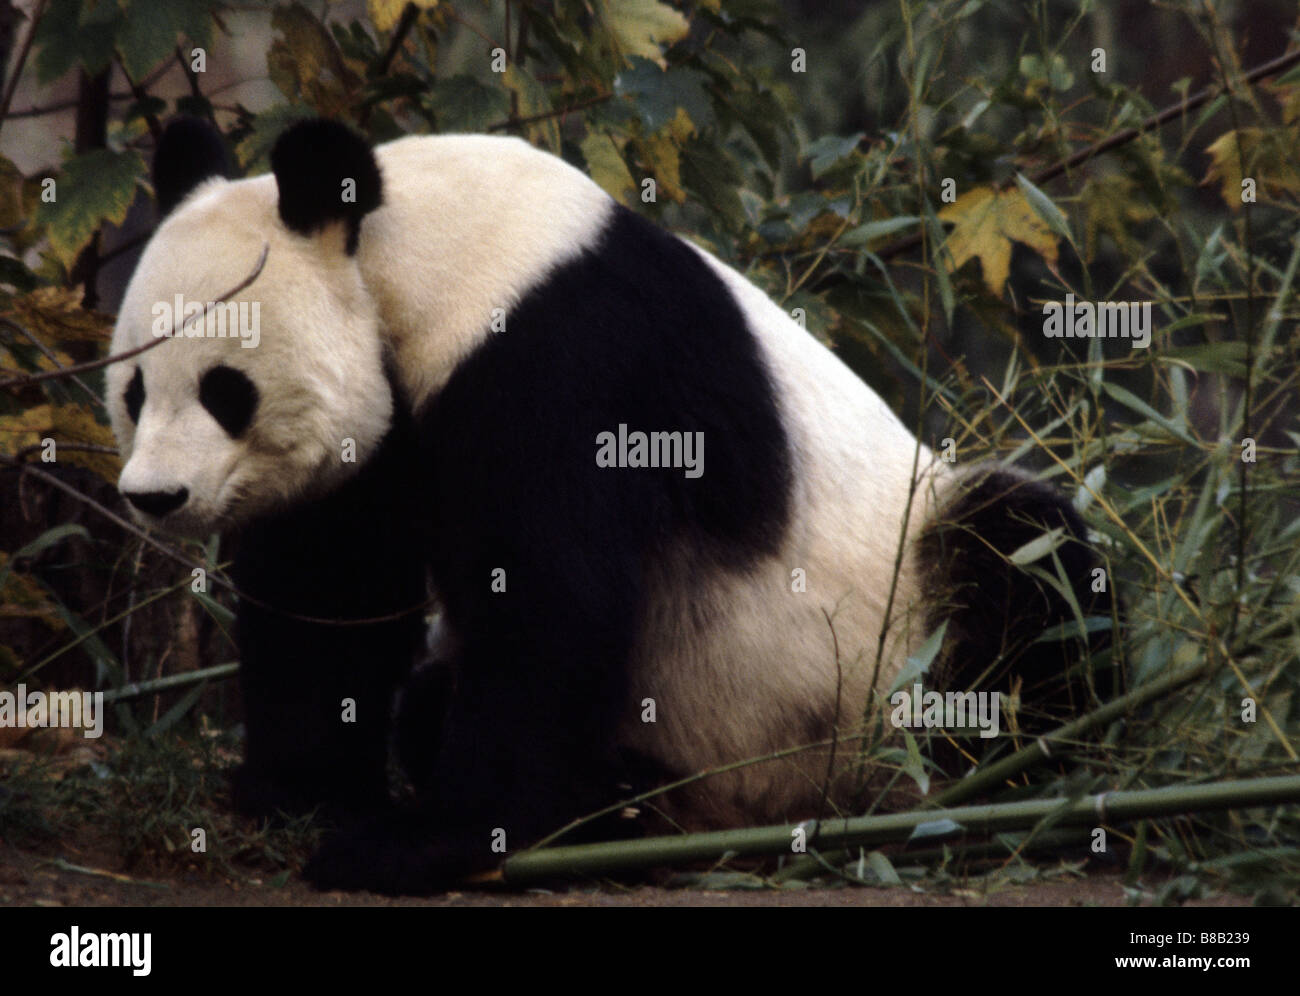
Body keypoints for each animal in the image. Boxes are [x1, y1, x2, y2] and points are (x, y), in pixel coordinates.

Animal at [106, 117, 1108, 893]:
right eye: (133, 390)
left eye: (225, 390)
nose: (157, 496)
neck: (417, 257)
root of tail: (797, 805)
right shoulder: (387, 435)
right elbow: (330, 587)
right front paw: (295, 788)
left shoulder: (565, 357)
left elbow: (551, 594)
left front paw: (418, 842)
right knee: (437, 704)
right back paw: (611, 806)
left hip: (899, 623)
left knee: (1025, 556)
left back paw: (998, 778)